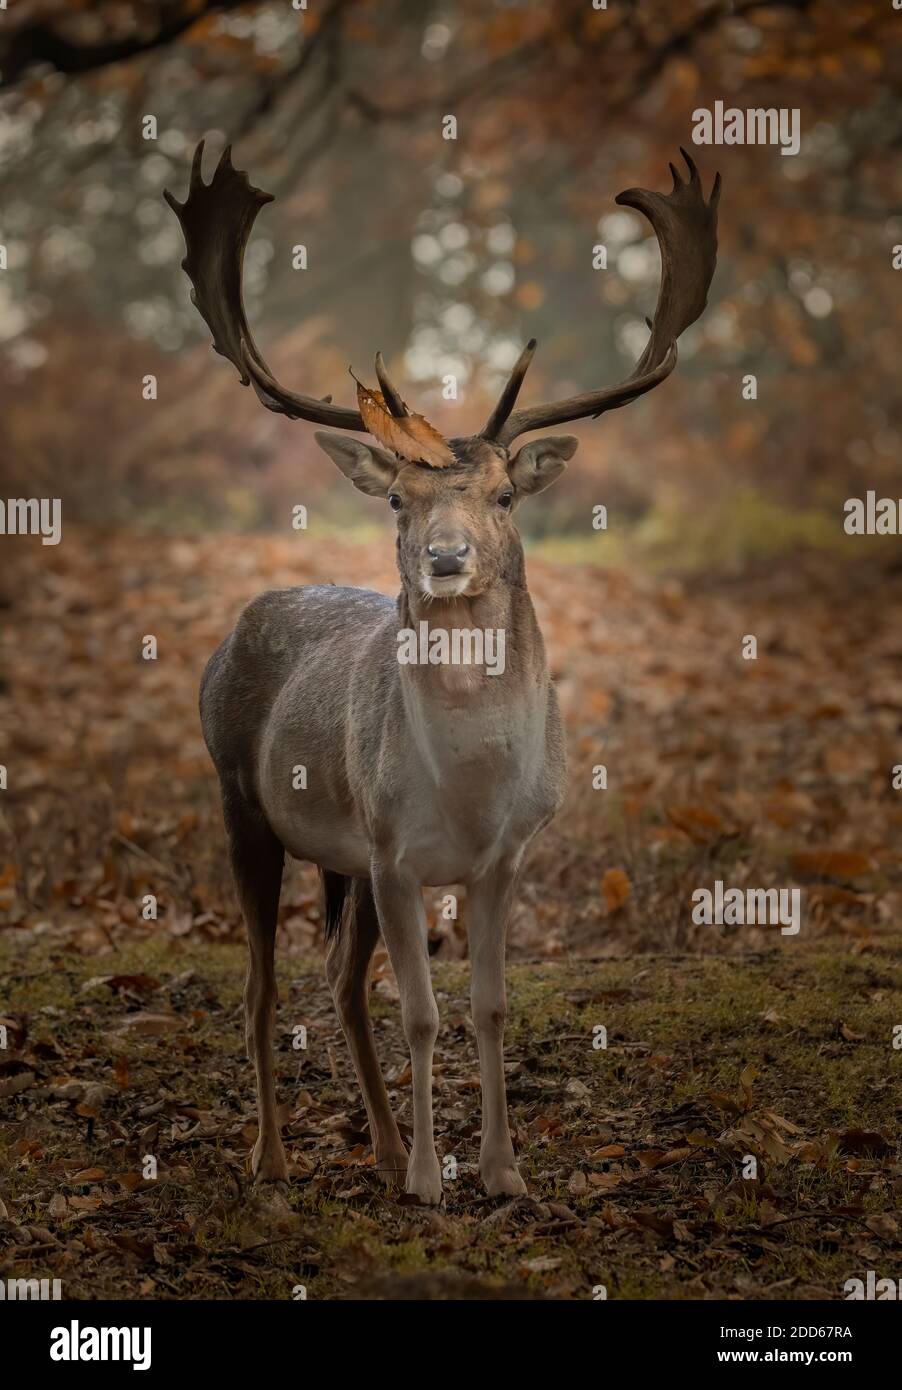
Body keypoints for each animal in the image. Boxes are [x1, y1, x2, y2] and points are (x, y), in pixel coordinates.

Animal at [165, 142, 719, 1203]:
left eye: (504, 494)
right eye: (398, 502)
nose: (447, 557)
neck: (468, 788)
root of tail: (231, 634)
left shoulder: (505, 855)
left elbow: (489, 1006)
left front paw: (501, 1171)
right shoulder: (393, 851)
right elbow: (420, 1012)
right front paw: (430, 1179)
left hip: (338, 857)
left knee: (338, 983)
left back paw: (377, 1149)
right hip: (240, 800)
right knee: (261, 987)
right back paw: (275, 1157)